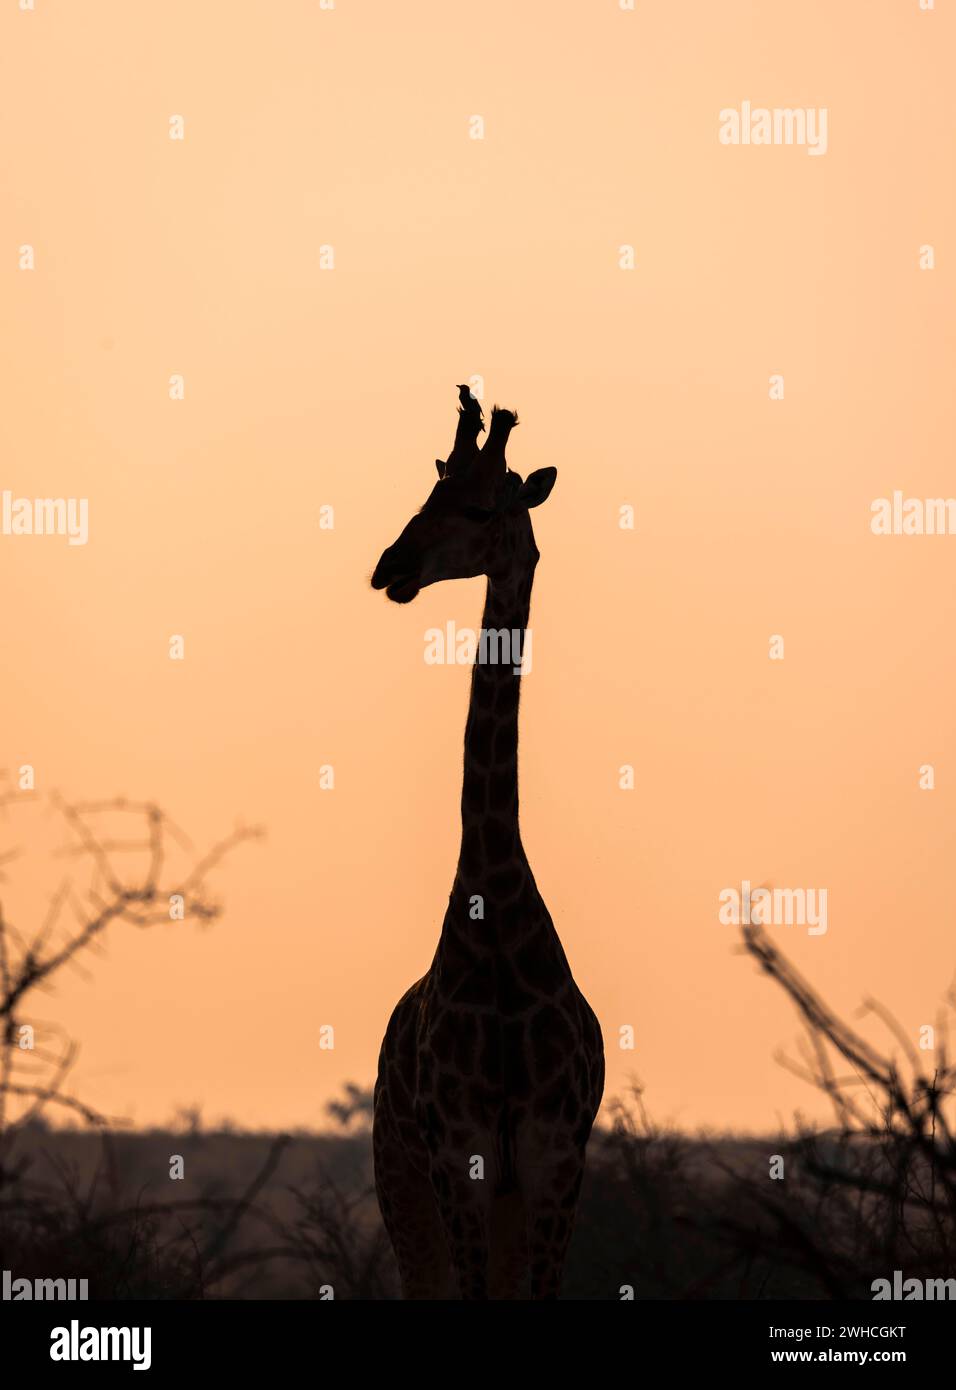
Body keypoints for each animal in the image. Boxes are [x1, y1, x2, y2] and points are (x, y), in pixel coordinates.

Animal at [369, 387, 605, 1300]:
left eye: (476, 507)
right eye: (430, 490)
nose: (387, 567)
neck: (498, 902)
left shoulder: (551, 1164)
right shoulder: (459, 1161)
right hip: (400, 1182)